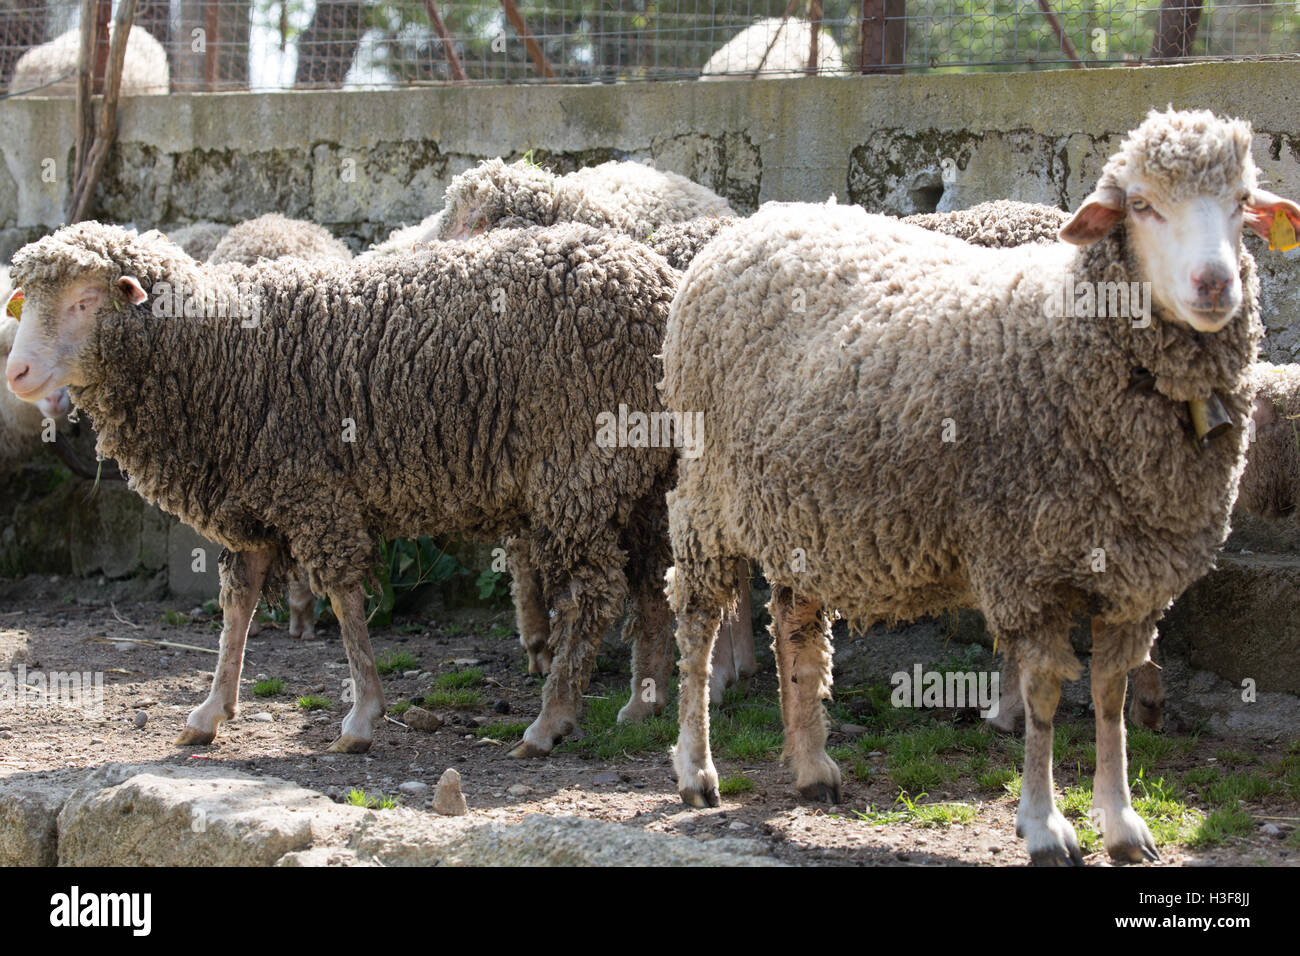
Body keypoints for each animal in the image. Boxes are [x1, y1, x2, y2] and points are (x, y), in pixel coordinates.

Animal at [5, 220, 681, 758]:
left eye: (85, 301)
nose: (17, 373)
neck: (220, 351)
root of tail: (657, 285)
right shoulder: (253, 502)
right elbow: (238, 602)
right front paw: (211, 711)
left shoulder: (315, 491)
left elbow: (344, 598)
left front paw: (361, 716)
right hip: (645, 475)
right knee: (651, 578)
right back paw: (641, 704)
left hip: (579, 467)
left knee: (593, 593)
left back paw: (550, 721)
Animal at [661, 109, 1292, 865]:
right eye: (1141, 205)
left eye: (1241, 202)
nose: (1214, 284)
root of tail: (753, 222)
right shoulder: (1028, 567)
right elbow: (1044, 697)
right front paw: (1044, 824)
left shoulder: (1132, 578)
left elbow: (1109, 697)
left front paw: (1121, 821)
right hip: (708, 491)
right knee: (696, 620)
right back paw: (696, 769)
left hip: (802, 508)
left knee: (796, 625)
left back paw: (811, 766)